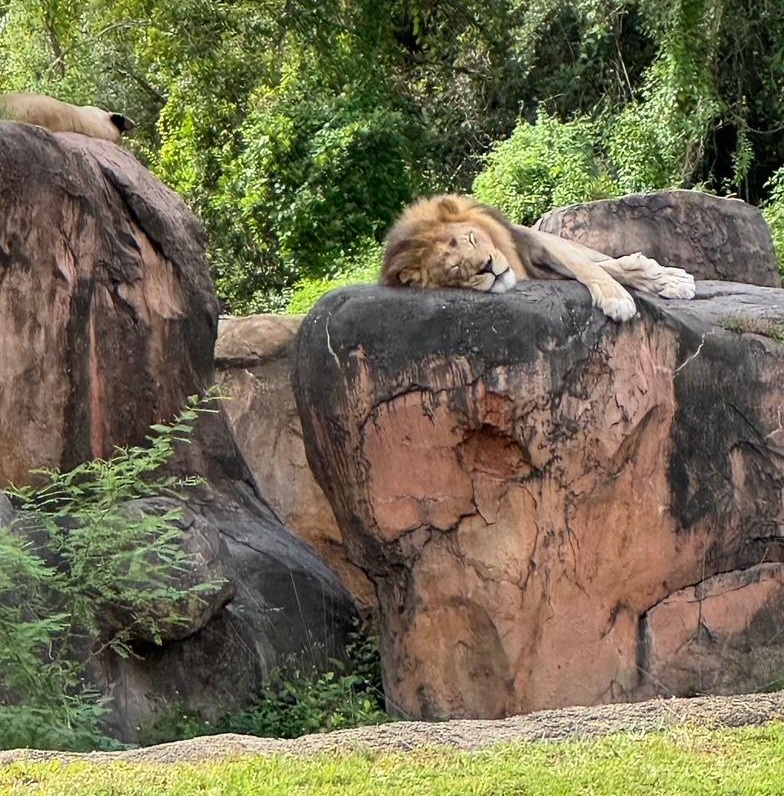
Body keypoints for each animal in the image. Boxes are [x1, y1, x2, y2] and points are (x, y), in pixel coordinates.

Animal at [380, 194, 696, 321]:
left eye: (471, 238)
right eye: (456, 268)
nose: (487, 267)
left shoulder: (536, 242)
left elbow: (588, 267)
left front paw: (618, 300)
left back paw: (673, 279)